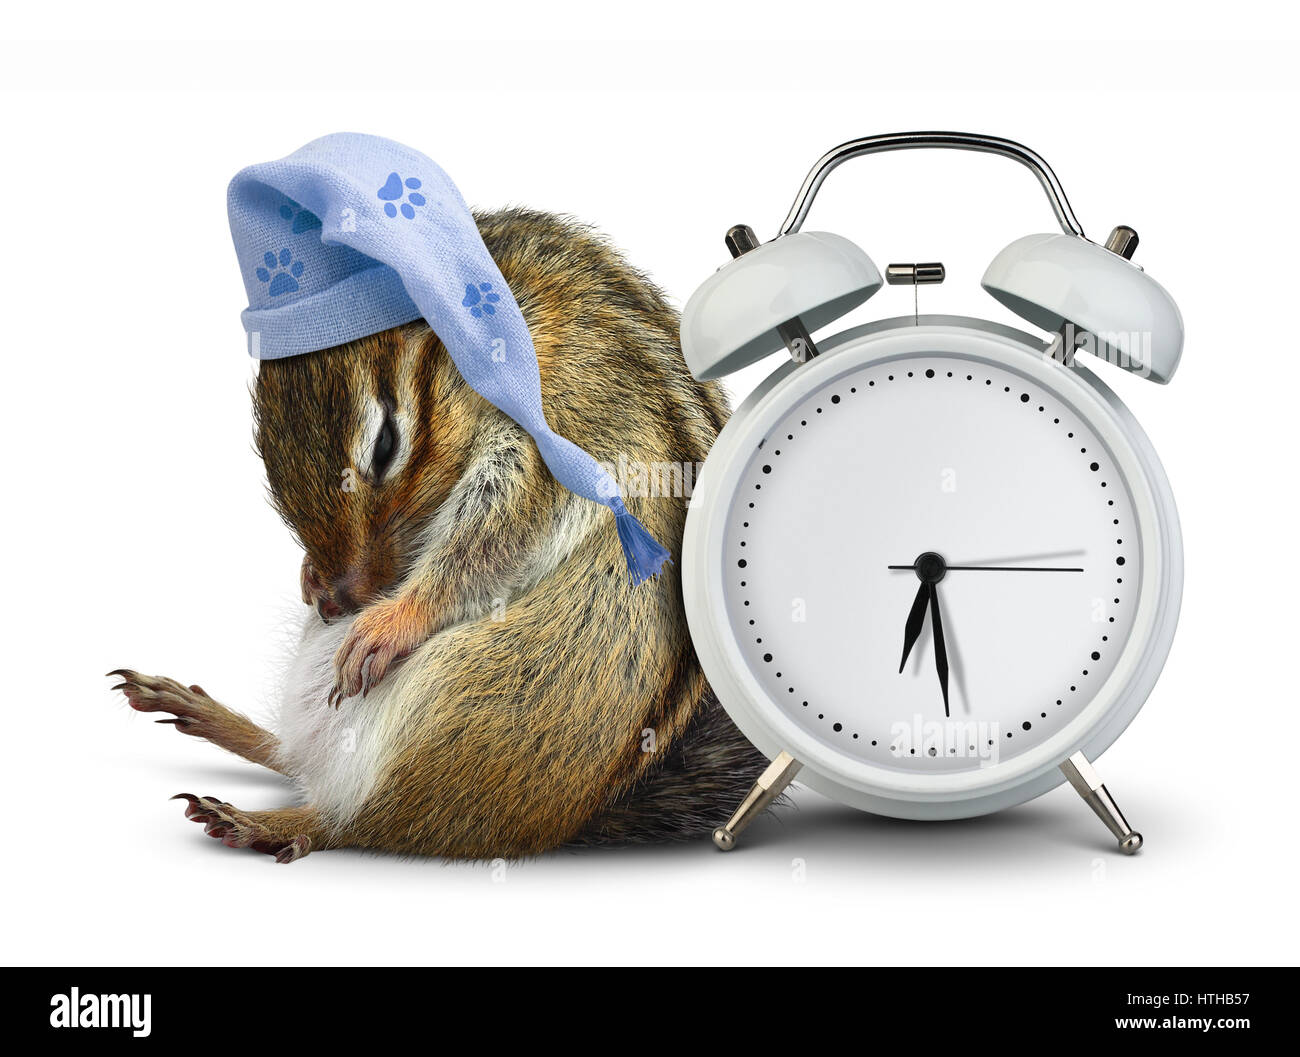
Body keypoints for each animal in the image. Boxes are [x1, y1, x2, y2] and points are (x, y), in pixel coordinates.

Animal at [110, 208, 768, 862]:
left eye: (384, 445)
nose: (340, 602)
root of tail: (570, 820)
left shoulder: (556, 428)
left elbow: (490, 544)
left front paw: (390, 623)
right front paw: (309, 577)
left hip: (464, 707)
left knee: (361, 824)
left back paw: (263, 820)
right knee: (292, 760)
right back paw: (194, 708)